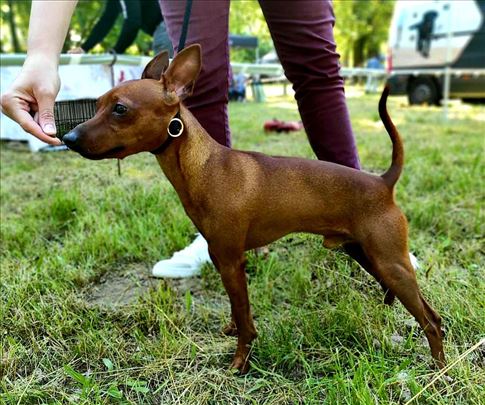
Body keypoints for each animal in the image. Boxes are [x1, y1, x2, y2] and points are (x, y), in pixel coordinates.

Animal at [62, 43, 444, 372]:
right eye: (98, 104)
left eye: (120, 109)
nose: (68, 138)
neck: (206, 167)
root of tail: (382, 182)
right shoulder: (219, 257)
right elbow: (236, 309)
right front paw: (231, 330)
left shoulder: (233, 261)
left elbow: (246, 317)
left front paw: (239, 362)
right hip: (368, 256)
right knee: (431, 314)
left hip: (389, 263)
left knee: (431, 321)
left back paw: (439, 370)